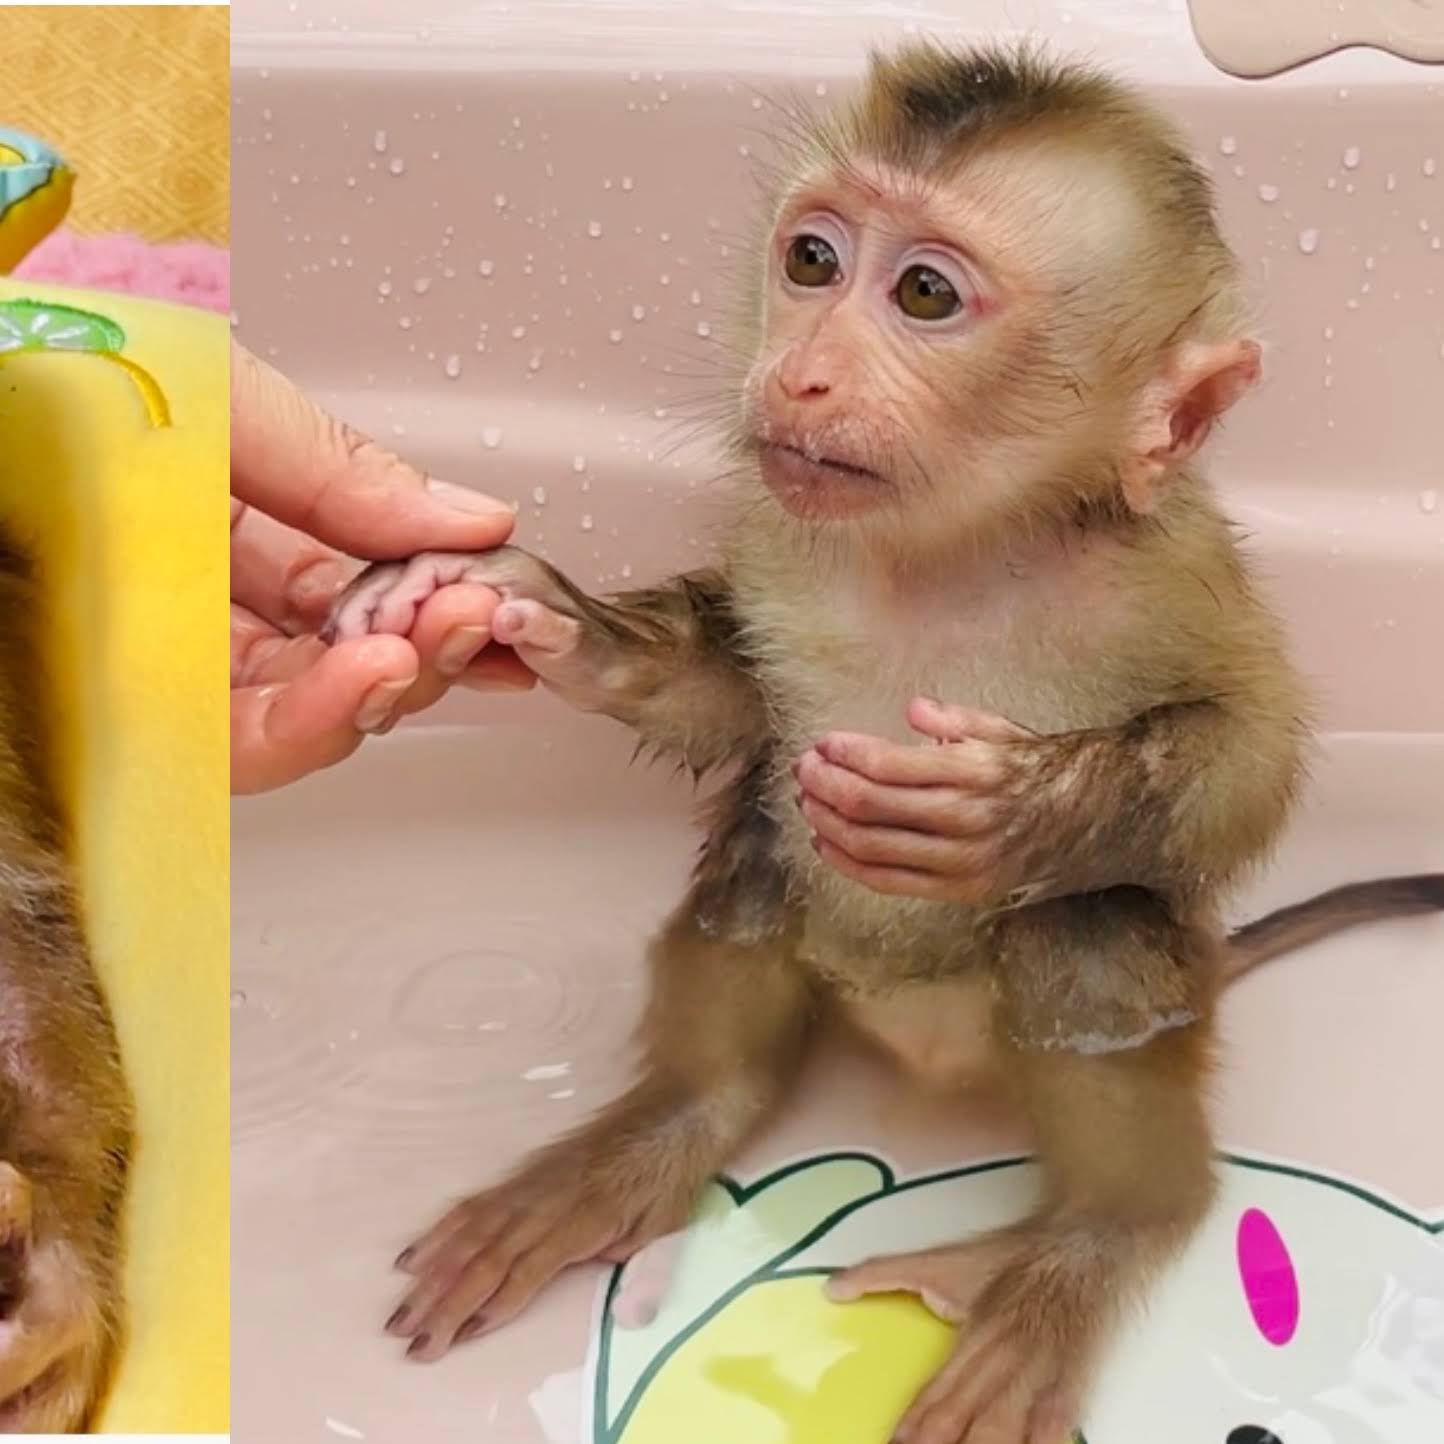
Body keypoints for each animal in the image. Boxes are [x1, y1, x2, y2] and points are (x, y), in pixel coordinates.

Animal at [326, 43, 1444, 1444]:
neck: (950, 555)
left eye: (923, 294)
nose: (799, 373)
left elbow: (1250, 756)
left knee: (1086, 931)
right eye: (811, 261)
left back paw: (1086, 1240)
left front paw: (1017, 810)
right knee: (759, 845)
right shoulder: (777, 524)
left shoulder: (1177, 569)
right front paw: (564, 623)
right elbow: (736, 705)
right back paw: (663, 1133)